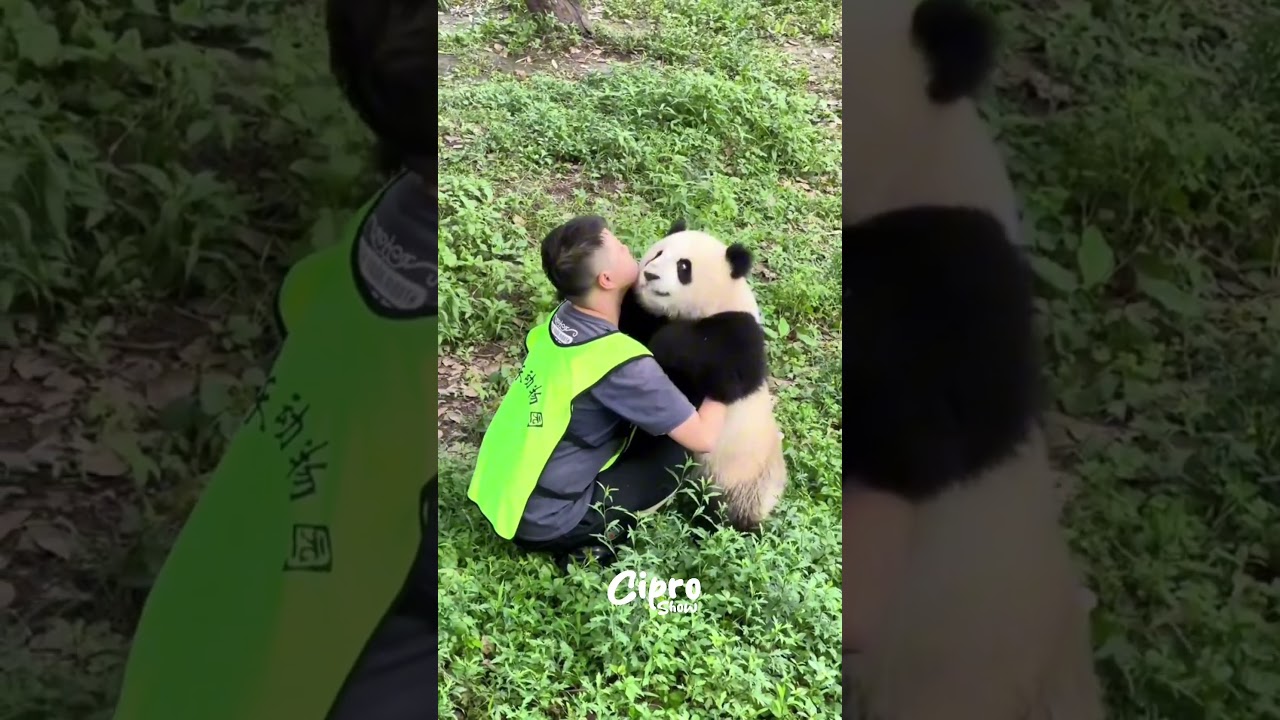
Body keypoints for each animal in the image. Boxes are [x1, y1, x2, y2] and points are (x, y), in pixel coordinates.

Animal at [618, 221, 787, 533]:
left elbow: (723, 368)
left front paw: (668, 342)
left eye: (684, 266)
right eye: (658, 253)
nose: (649, 274)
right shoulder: (647, 316)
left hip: (743, 479)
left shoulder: (739, 334)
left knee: (728, 510)